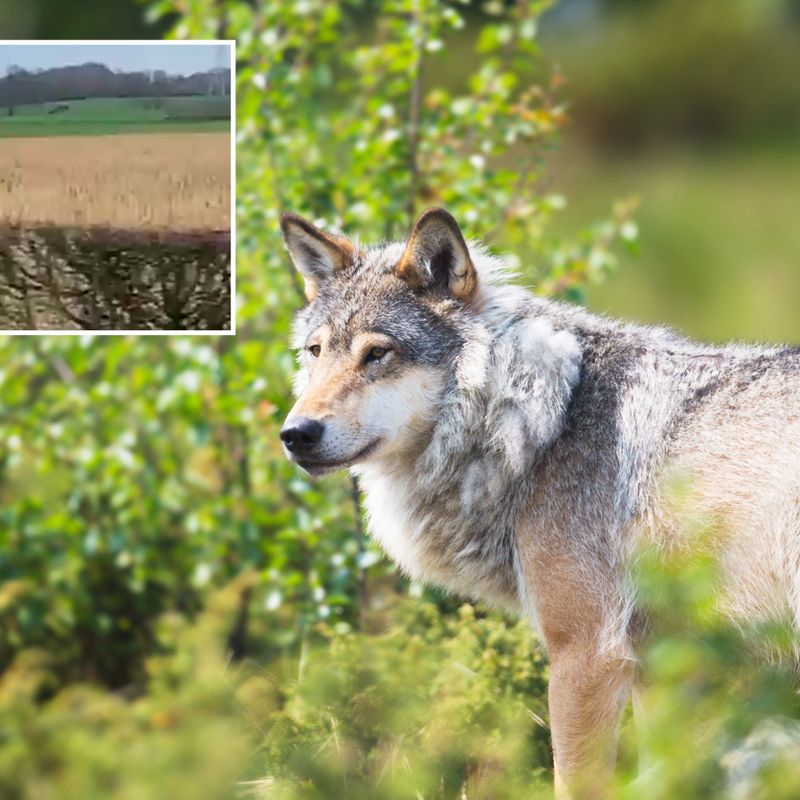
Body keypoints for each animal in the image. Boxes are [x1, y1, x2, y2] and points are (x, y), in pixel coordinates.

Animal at [278, 207, 800, 798]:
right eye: (315, 352)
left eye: (377, 354)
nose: (295, 434)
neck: (533, 419)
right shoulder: (660, 666)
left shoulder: (585, 655)